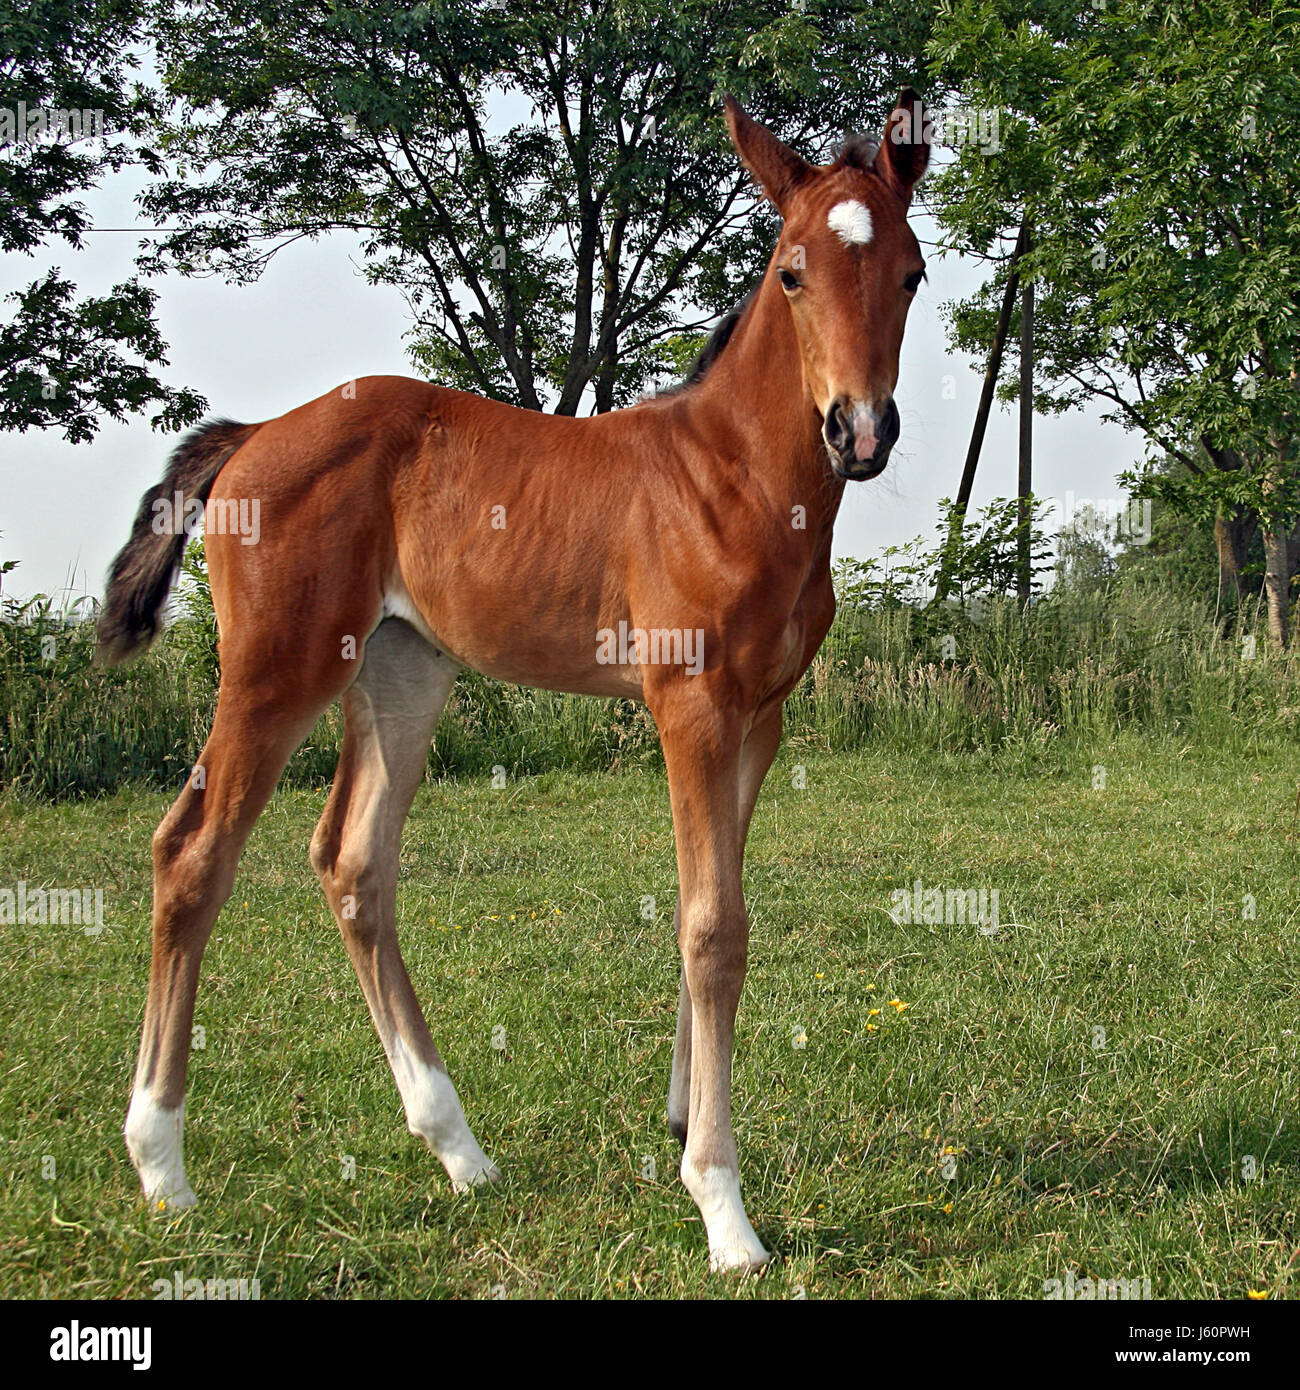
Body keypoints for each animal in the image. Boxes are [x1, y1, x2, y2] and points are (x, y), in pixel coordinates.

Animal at [98, 89, 930, 1273]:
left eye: (910, 272)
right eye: (791, 271)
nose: (859, 430)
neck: (730, 476)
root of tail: (254, 436)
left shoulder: (760, 718)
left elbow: (712, 907)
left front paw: (680, 1117)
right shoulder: (689, 706)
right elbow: (715, 928)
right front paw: (723, 1207)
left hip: (400, 671)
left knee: (353, 862)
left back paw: (459, 1150)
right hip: (273, 672)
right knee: (191, 855)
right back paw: (163, 1166)